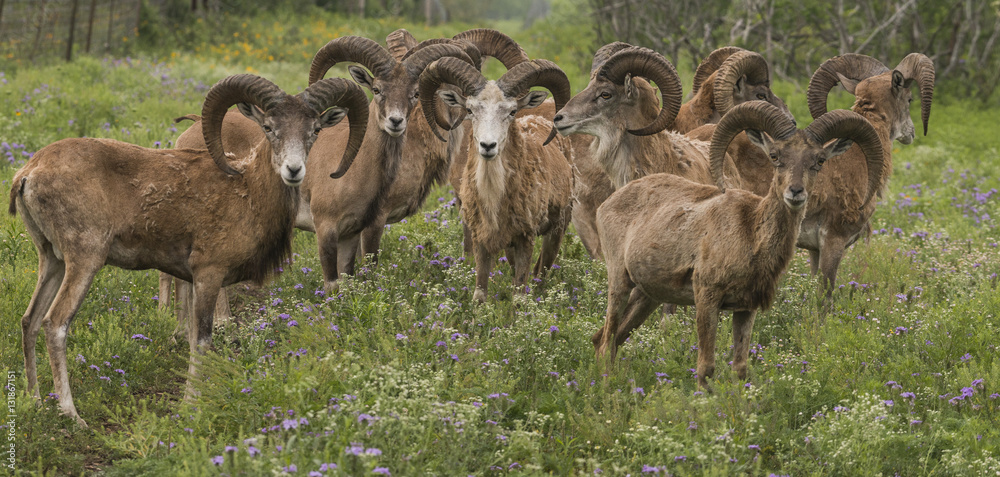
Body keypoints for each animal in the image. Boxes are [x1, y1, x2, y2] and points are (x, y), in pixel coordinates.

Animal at [8, 74, 368, 427]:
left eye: (314, 130)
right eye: (268, 127)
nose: (293, 170)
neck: (247, 192)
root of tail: (28, 174)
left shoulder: (194, 280)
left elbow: (194, 338)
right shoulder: (209, 275)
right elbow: (203, 341)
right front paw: (191, 406)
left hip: (51, 260)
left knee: (30, 320)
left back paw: (35, 401)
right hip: (84, 260)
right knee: (55, 324)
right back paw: (71, 414)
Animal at [419, 57, 574, 303]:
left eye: (512, 111)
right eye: (470, 109)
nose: (488, 145)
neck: (493, 198)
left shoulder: (525, 238)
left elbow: (519, 295)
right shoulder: (481, 240)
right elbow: (480, 294)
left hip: (557, 229)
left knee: (541, 273)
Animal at [593, 101, 884, 389]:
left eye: (819, 160)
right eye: (775, 156)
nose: (795, 192)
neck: (751, 236)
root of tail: (609, 202)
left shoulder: (745, 309)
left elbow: (740, 368)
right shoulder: (707, 299)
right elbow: (706, 367)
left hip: (647, 296)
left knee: (607, 339)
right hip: (619, 282)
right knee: (606, 342)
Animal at [797, 53, 935, 300]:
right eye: (909, 99)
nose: (911, 133)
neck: (859, 157)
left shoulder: (814, 249)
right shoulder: (833, 241)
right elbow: (825, 297)